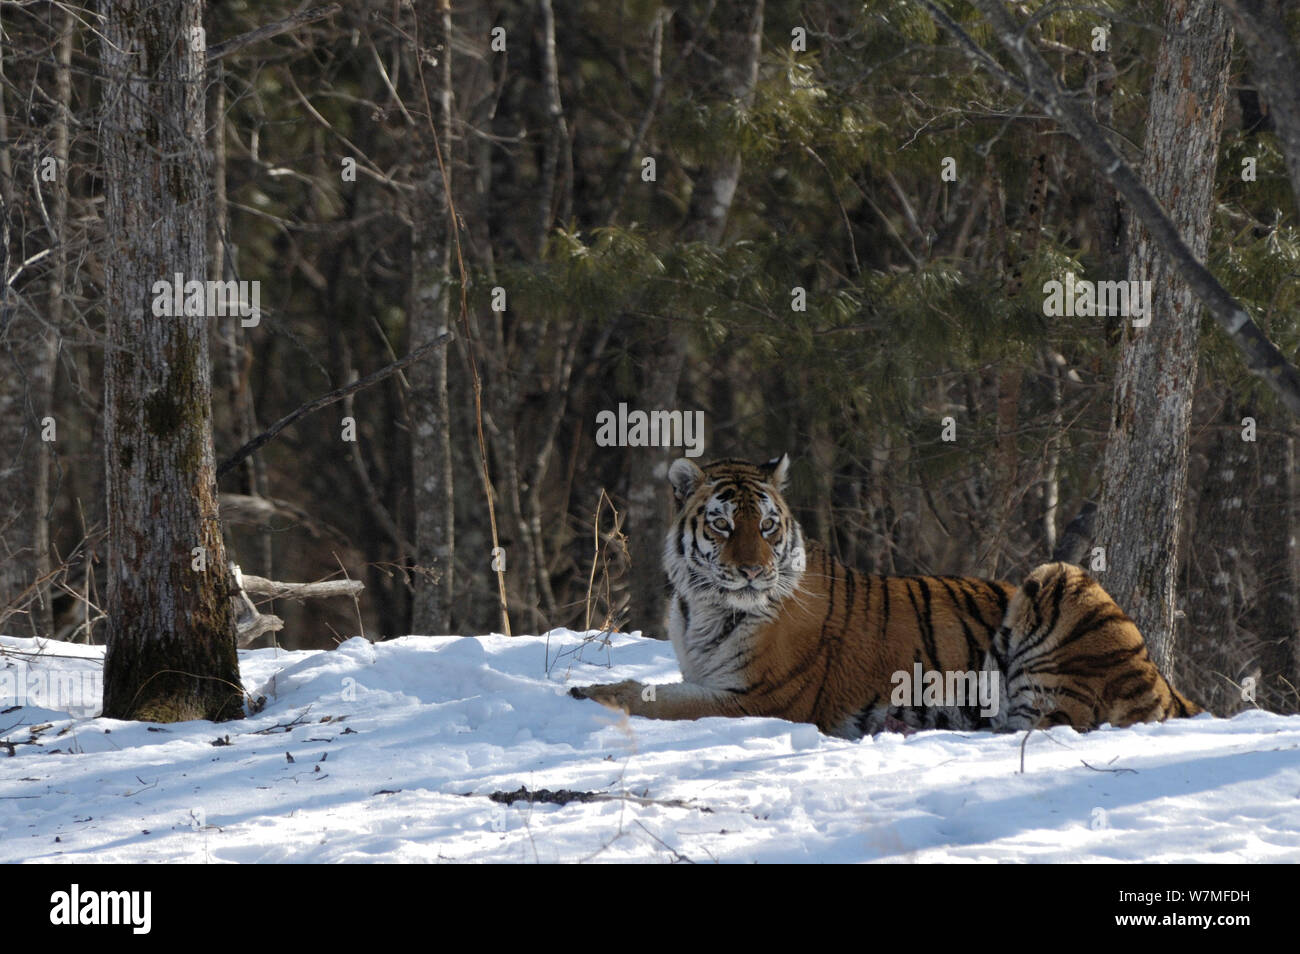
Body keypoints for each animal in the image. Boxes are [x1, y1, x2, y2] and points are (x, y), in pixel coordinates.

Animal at [570, 454, 1017, 738]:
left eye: (767, 525)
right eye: (722, 525)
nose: (752, 571)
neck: (701, 608)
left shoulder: (758, 698)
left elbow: (661, 701)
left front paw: (593, 693)